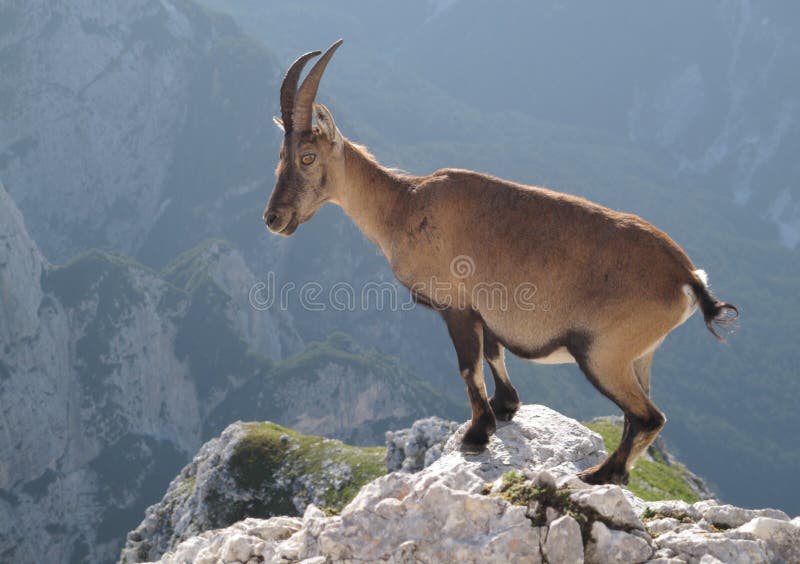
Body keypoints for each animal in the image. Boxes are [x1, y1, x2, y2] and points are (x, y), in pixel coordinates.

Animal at [263, 40, 738, 485]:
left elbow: (468, 366)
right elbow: (494, 353)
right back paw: (614, 474)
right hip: (640, 356)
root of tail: (687, 277)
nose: (274, 219)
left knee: (648, 416)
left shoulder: (455, 307)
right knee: (640, 417)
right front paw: (505, 408)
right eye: (279, 158)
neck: (404, 207)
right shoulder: (485, 309)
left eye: (308, 157)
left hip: (604, 354)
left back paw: (597, 475)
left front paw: (478, 433)